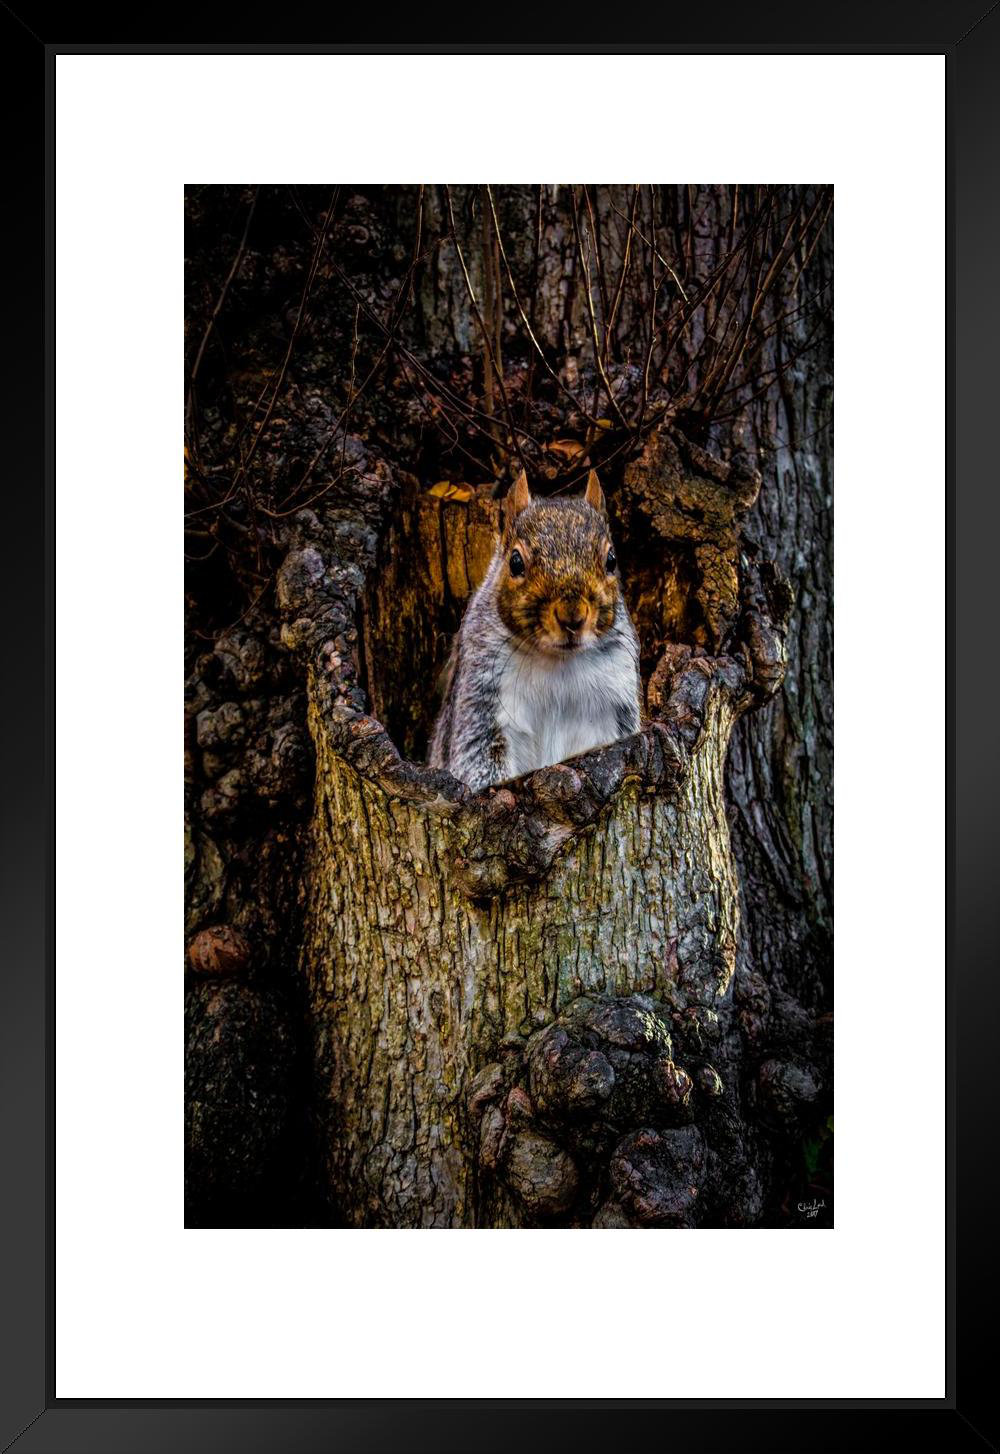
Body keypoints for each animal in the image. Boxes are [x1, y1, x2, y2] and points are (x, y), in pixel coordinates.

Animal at [428, 468, 642, 792]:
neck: (557, 662)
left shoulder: (615, 702)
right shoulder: (481, 700)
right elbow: (478, 759)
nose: (572, 616)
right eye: (515, 562)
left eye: (611, 560)